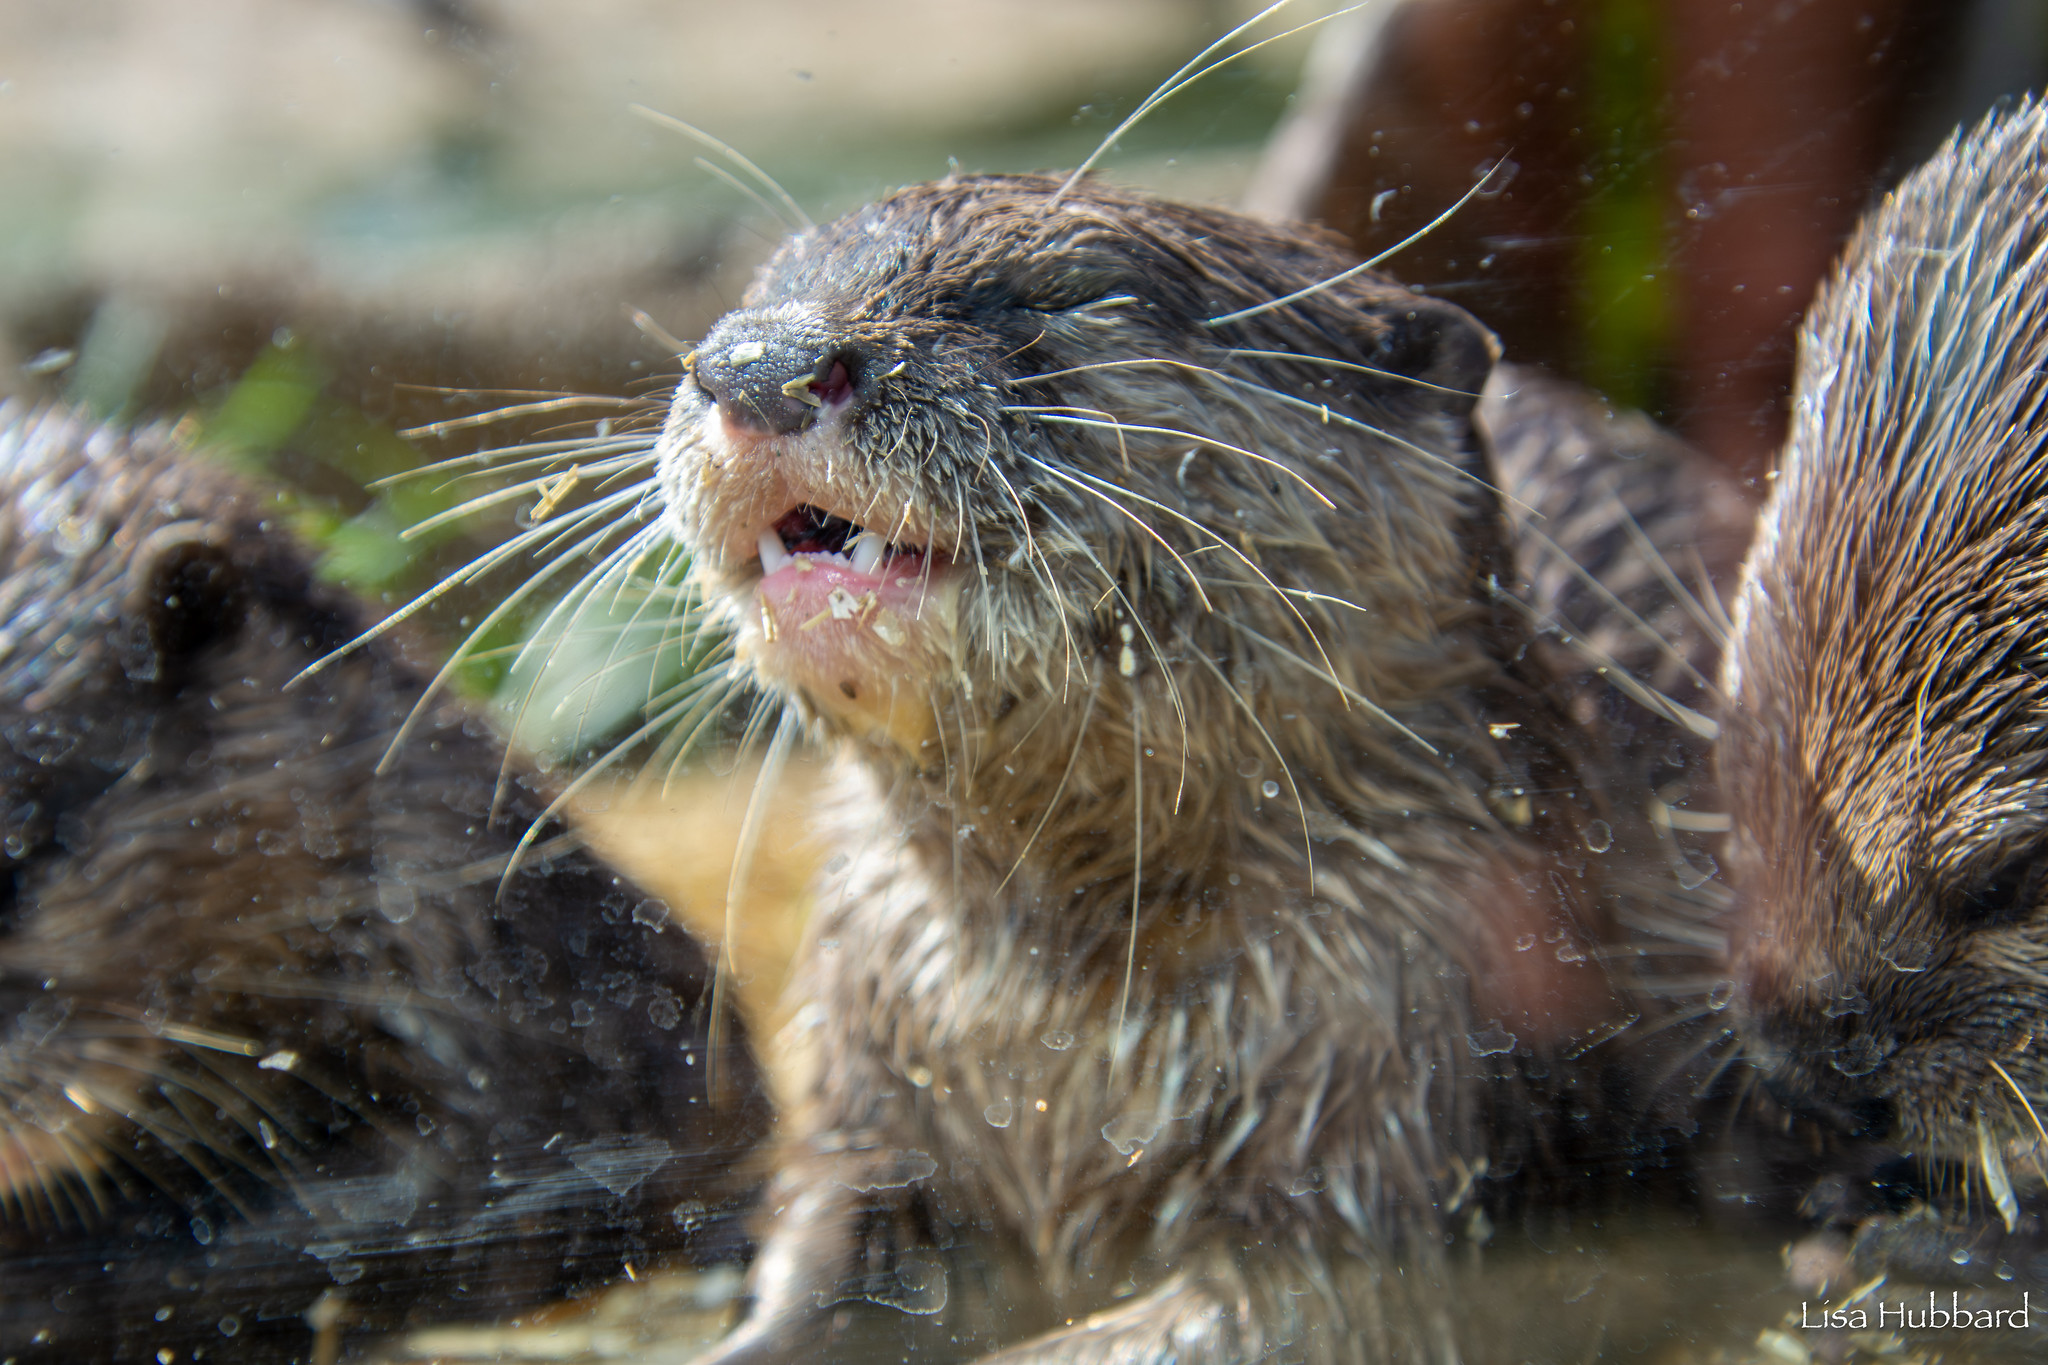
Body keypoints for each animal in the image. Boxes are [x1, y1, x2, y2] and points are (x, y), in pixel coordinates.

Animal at [635, 170, 1761, 1363]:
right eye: (769, 285)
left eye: (1078, 292)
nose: (759, 360)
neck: (1067, 1038)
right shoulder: (863, 1070)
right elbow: (819, 1251)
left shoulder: (1412, 1068)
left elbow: (1322, 1305)